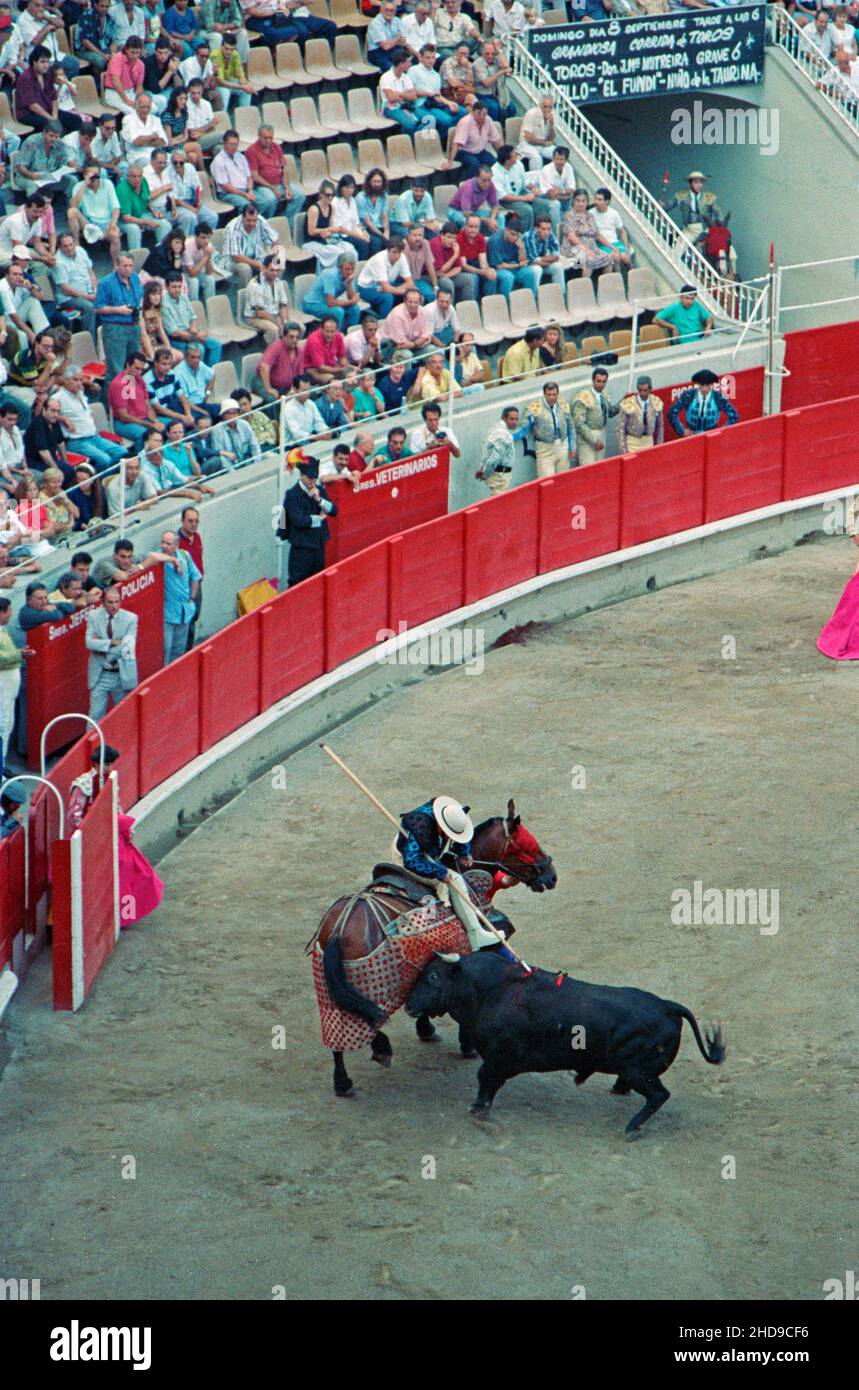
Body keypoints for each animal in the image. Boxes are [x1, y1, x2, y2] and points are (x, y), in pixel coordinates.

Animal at [406, 952, 725, 1138]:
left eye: (432, 977)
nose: (408, 1006)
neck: (490, 990)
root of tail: (669, 1007)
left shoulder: (499, 1057)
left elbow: (485, 1079)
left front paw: (478, 1110)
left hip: (638, 1070)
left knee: (659, 1094)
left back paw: (632, 1127)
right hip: (635, 1070)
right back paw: (618, 1092)